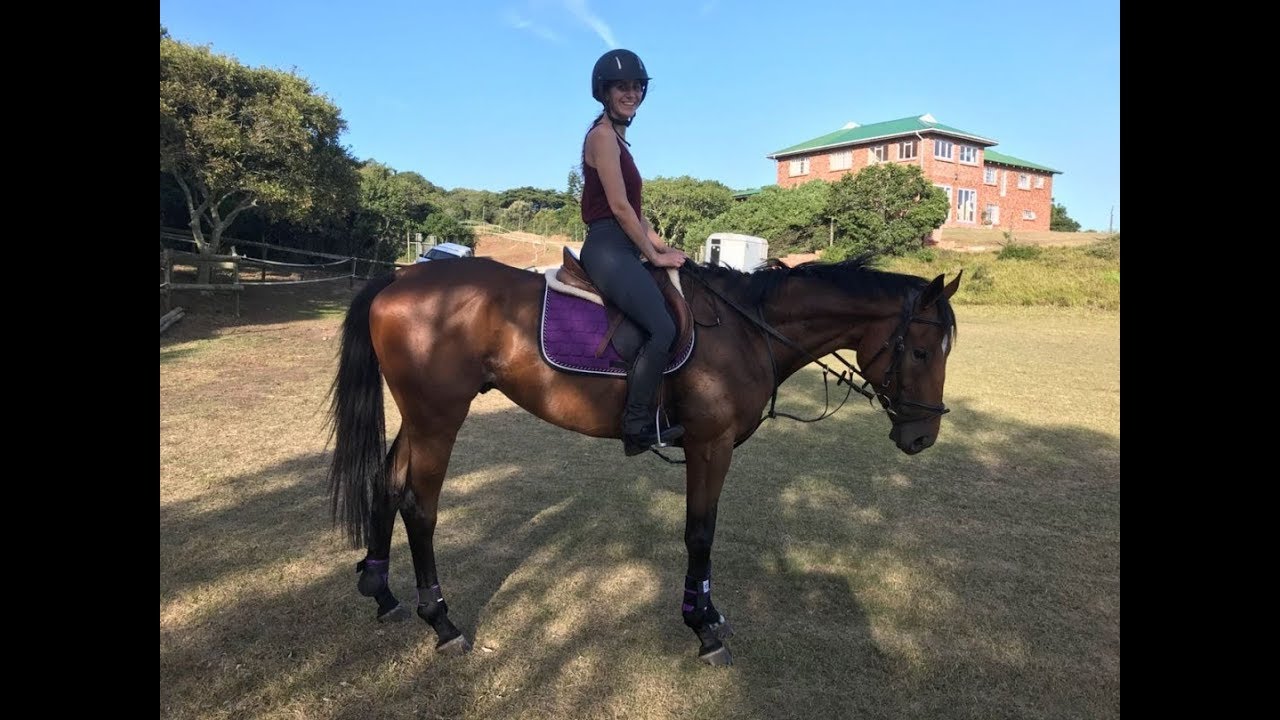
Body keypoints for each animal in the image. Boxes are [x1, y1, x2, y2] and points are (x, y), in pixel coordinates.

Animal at [327, 253, 960, 665]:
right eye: (921, 351)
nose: (923, 437)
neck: (746, 330)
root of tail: (401, 276)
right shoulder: (710, 444)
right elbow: (700, 533)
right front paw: (703, 627)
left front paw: (707, 614)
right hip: (439, 417)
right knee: (420, 506)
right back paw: (442, 621)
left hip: (420, 416)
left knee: (387, 485)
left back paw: (381, 592)